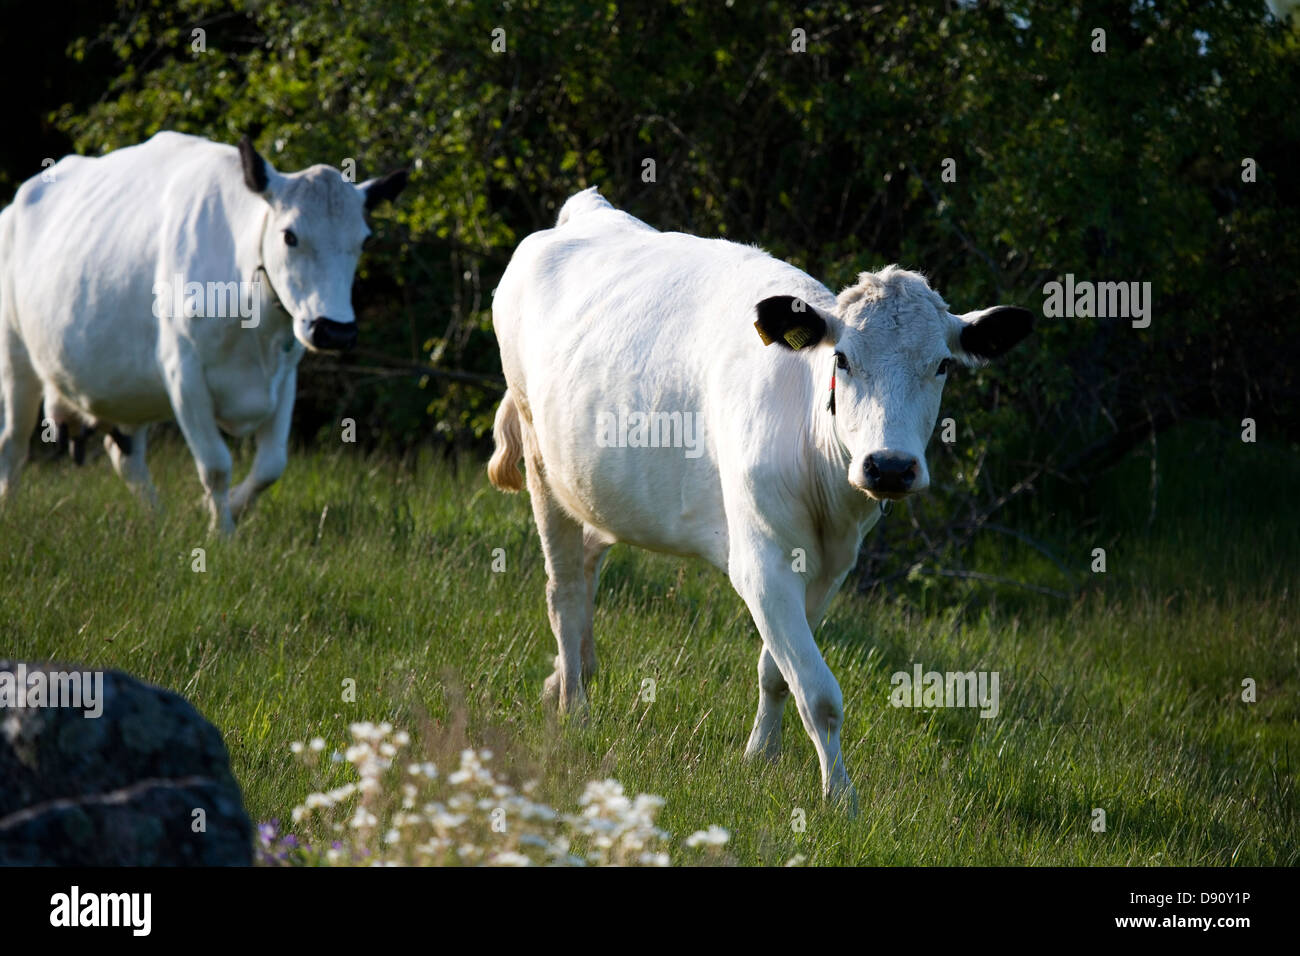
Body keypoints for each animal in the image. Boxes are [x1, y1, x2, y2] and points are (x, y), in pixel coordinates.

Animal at [0, 131, 406, 531]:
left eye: (364, 240)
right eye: (289, 236)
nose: (335, 331)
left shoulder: (286, 375)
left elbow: (271, 466)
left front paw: (229, 509)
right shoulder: (183, 372)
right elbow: (216, 465)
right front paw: (222, 533)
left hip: (125, 388)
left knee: (125, 456)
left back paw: (157, 521)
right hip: (16, 360)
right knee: (13, 445)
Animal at [487, 187, 1032, 803]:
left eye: (941, 364)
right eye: (842, 359)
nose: (890, 466)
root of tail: (589, 210)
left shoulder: (830, 567)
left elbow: (778, 672)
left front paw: (761, 757)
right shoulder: (761, 560)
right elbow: (819, 692)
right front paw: (841, 799)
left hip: (595, 483)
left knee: (586, 567)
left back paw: (569, 677)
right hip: (538, 454)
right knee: (564, 592)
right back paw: (574, 709)